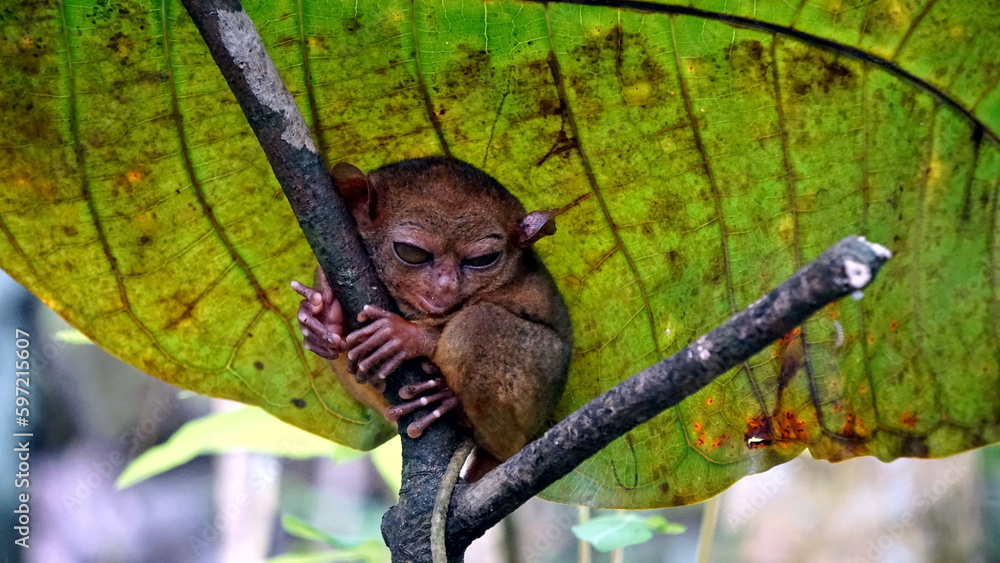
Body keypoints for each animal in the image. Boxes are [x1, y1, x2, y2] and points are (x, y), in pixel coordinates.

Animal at [291, 157, 573, 481]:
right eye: (412, 252)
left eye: (482, 260)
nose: (446, 286)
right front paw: (322, 319)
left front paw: (404, 337)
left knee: (477, 323)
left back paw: (450, 404)